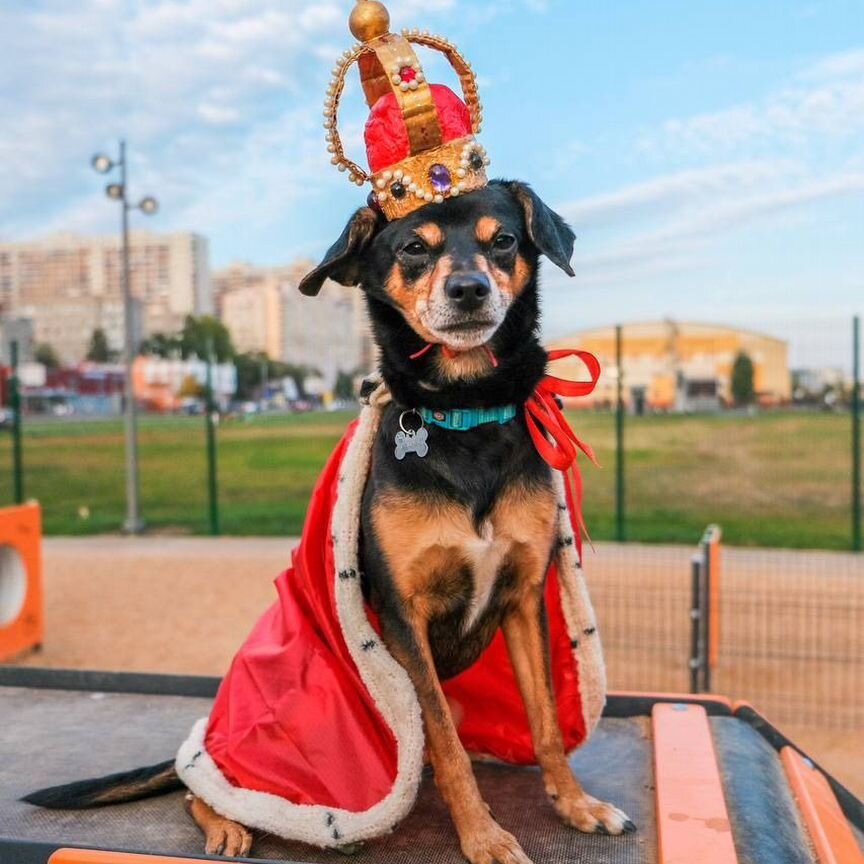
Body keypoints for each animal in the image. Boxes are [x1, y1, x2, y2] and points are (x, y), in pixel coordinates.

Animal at [25, 179, 636, 860]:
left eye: (502, 240)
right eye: (413, 248)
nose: (469, 289)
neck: (464, 415)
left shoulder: (524, 597)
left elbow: (546, 722)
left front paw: (576, 805)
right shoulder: (404, 615)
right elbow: (448, 744)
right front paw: (483, 837)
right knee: (197, 781)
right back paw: (229, 823)